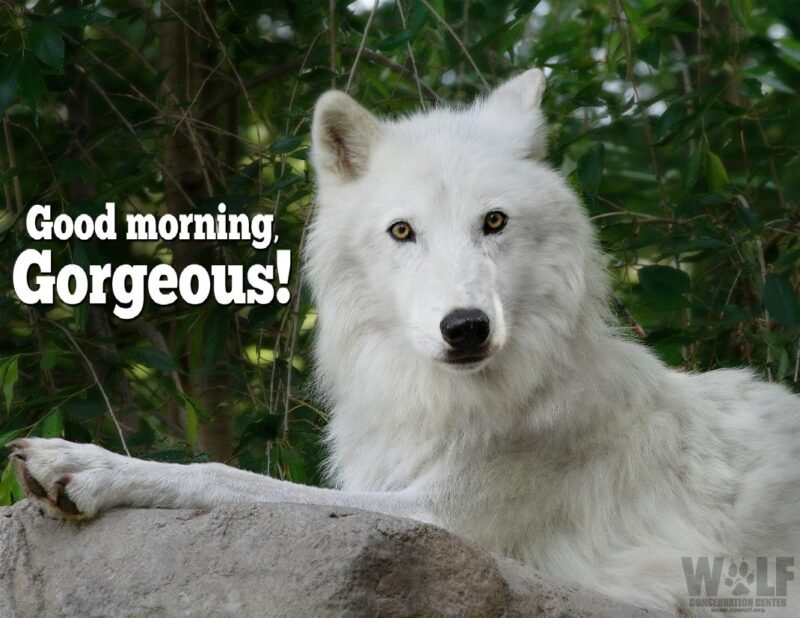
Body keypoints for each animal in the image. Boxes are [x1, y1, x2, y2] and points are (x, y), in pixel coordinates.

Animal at [9, 69, 800, 613]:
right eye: (402, 231)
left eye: (494, 222)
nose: (466, 327)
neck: (444, 404)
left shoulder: (440, 519)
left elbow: (234, 479)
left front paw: (83, 464)